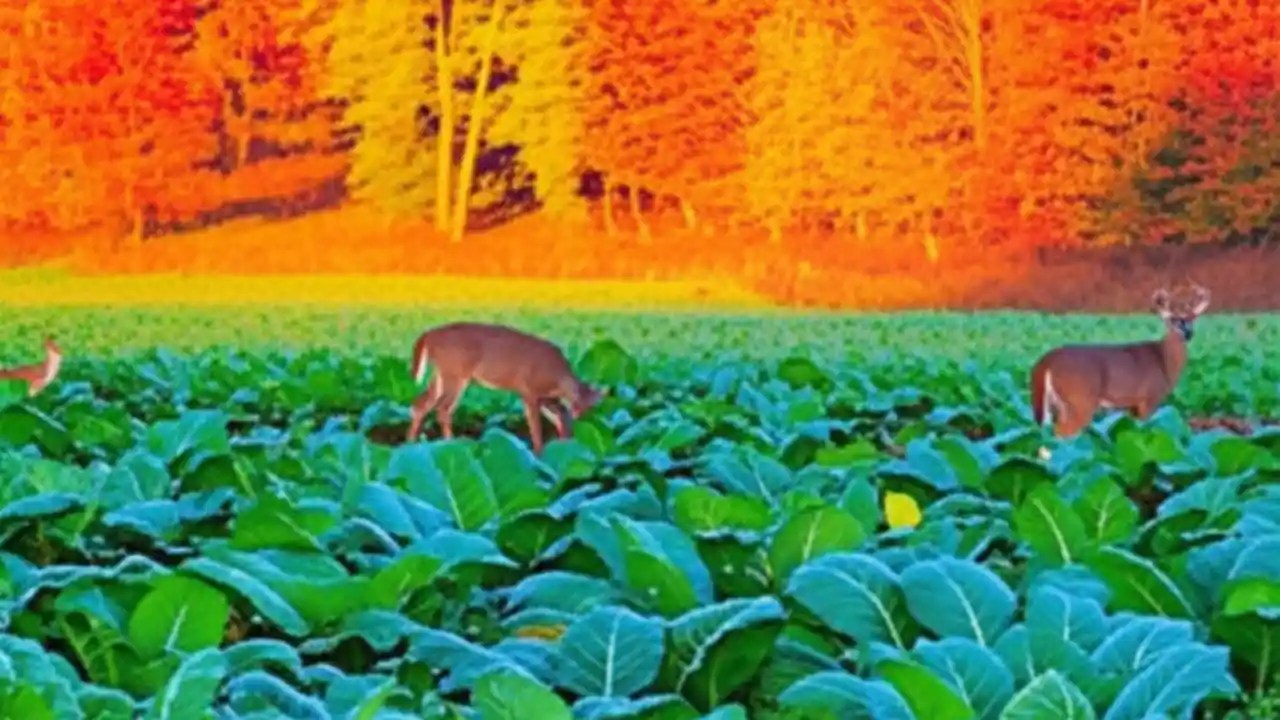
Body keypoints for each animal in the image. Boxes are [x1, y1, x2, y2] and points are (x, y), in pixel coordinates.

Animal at [404, 322, 605, 455]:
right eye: (577, 403)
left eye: (592, 408)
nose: (580, 417)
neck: (557, 377)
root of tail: (429, 335)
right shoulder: (528, 391)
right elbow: (536, 427)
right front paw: (538, 454)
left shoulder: (546, 398)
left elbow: (560, 419)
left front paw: (565, 446)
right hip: (455, 374)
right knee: (443, 408)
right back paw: (451, 444)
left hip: (441, 374)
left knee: (420, 404)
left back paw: (410, 444)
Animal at [1029, 282, 1210, 454]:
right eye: (1172, 318)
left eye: (1193, 317)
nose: (1188, 333)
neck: (1163, 360)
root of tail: (1045, 361)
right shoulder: (1150, 398)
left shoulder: (1131, 406)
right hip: (1080, 400)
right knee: (1061, 433)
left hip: (1056, 403)